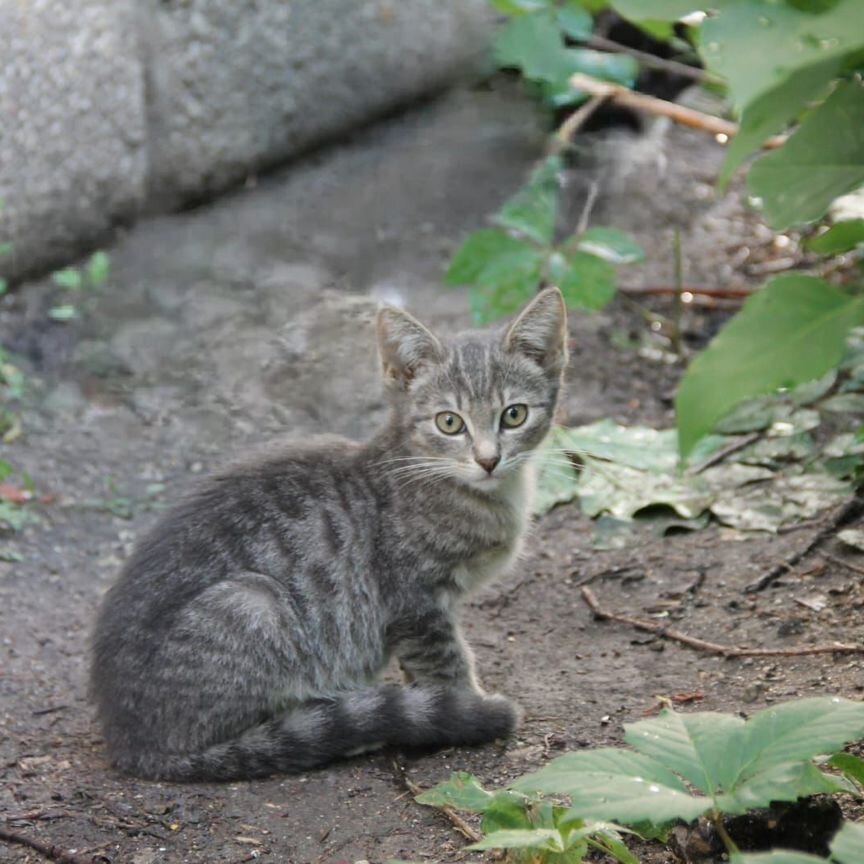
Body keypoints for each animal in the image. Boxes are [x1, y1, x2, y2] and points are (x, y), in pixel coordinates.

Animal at [91, 286, 572, 780]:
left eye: (514, 415)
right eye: (449, 422)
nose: (488, 459)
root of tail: (133, 744)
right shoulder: (415, 603)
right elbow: (448, 664)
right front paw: (467, 710)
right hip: (253, 603)